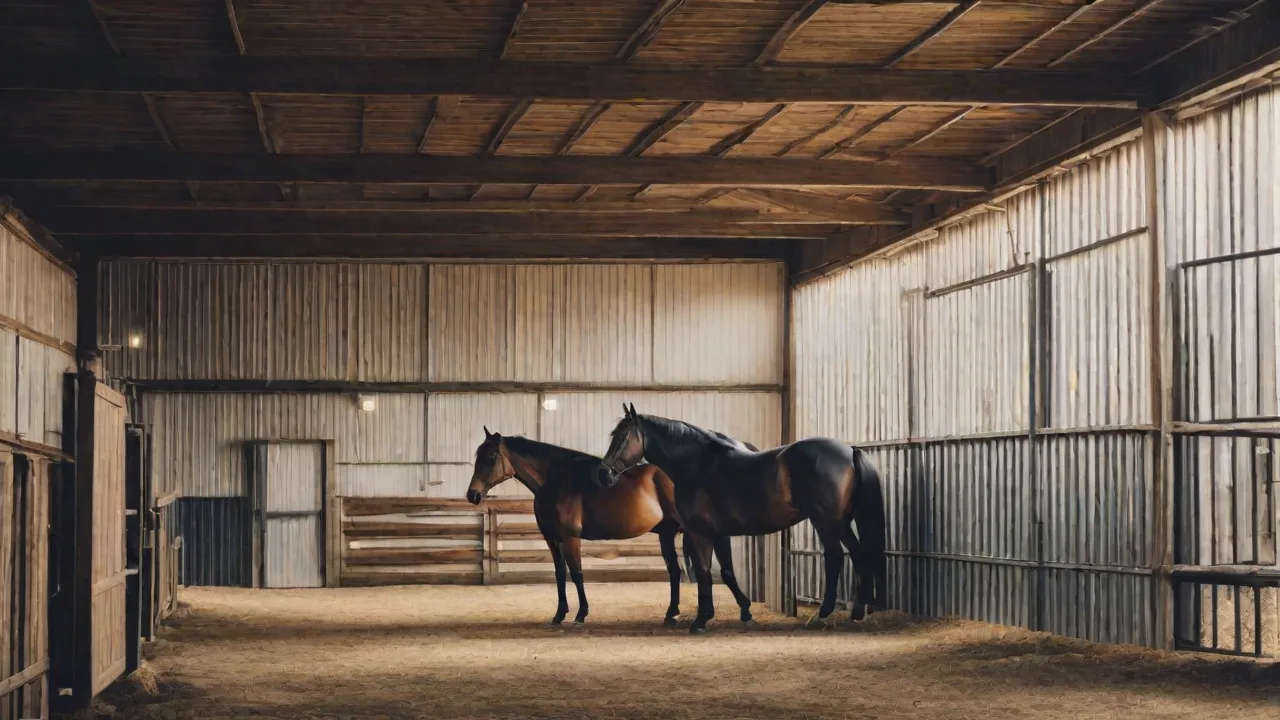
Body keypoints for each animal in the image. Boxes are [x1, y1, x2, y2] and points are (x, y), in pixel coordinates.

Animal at [597, 404, 887, 634]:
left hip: (826, 522)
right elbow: (726, 571)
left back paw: (823, 614)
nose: (603, 475)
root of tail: (850, 450)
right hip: (841, 522)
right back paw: (856, 613)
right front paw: (741, 612)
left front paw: (701, 620)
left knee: (835, 558)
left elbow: (704, 571)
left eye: (622, 436)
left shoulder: (698, 533)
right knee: (858, 554)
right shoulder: (718, 533)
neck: (696, 464)